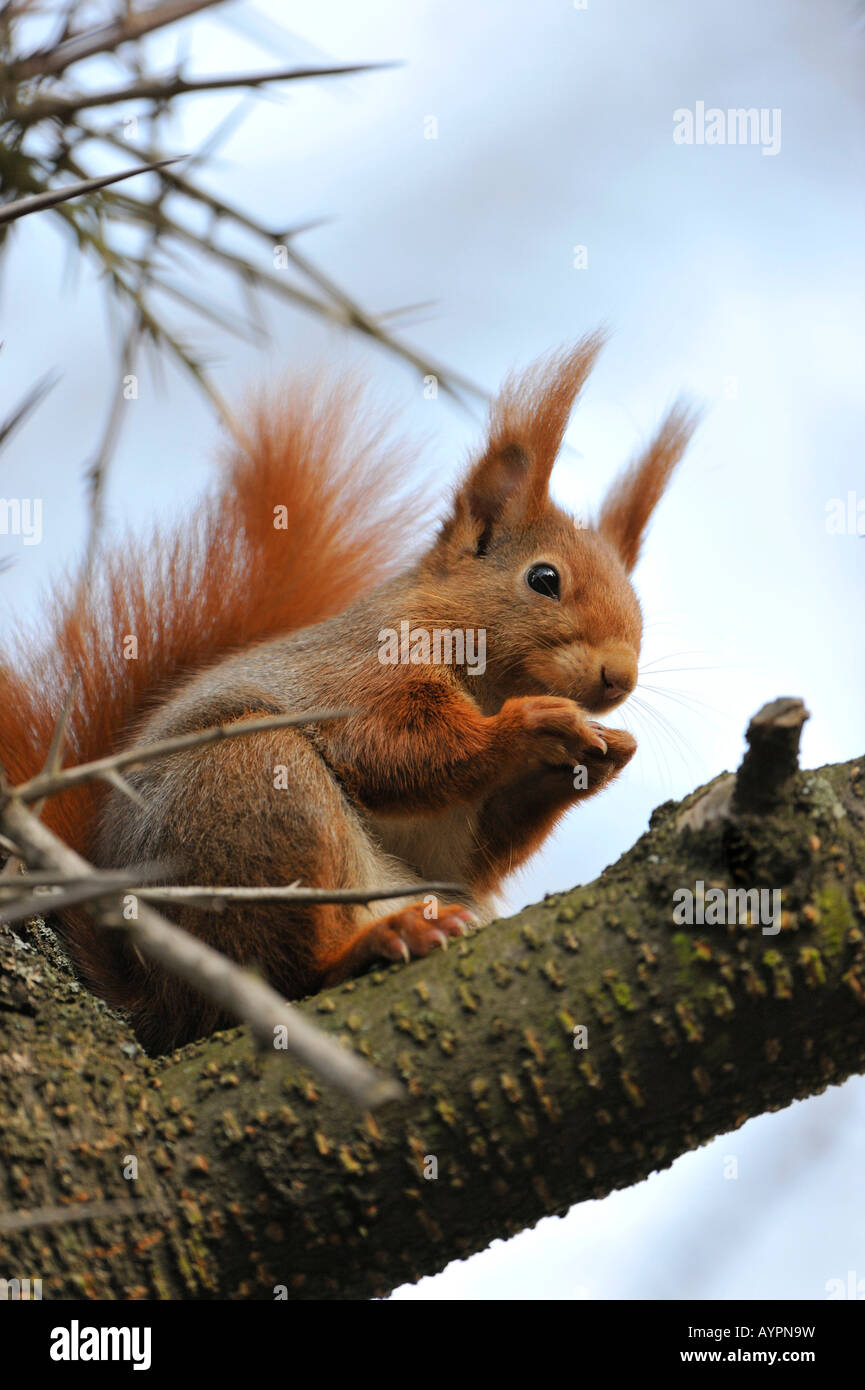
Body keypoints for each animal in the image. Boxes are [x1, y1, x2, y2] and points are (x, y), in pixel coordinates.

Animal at [0, 332, 695, 1053]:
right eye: (544, 579)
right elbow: (396, 750)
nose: (620, 677)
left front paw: (601, 753)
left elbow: (468, 848)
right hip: (248, 790)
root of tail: (152, 999)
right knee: (286, 968)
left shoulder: (449, 839)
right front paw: (527, 725)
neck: (486, 678)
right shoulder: (359, 674)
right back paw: (371, 944)